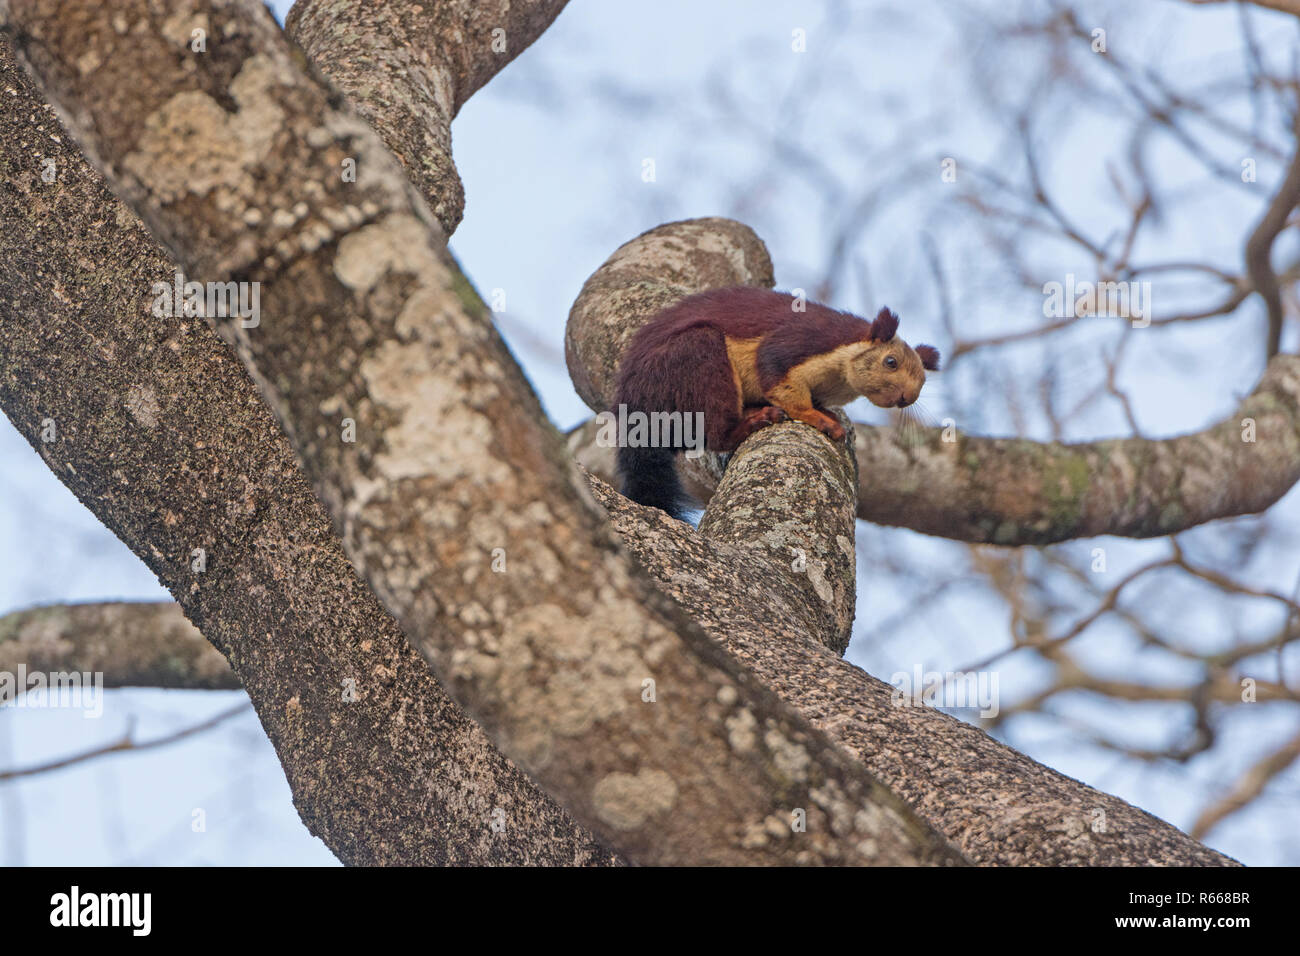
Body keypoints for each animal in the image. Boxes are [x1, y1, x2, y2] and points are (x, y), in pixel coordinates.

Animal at [611, 285, 939, 518]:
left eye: (923, 380)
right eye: (890, 361)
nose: (907, 397)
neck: (840, 378)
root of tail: (635, 404)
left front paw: (824, 409)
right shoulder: (797, 344)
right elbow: (777, 376)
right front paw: (818, 417)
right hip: (693, 356)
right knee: (716, 432)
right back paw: (751, 422)